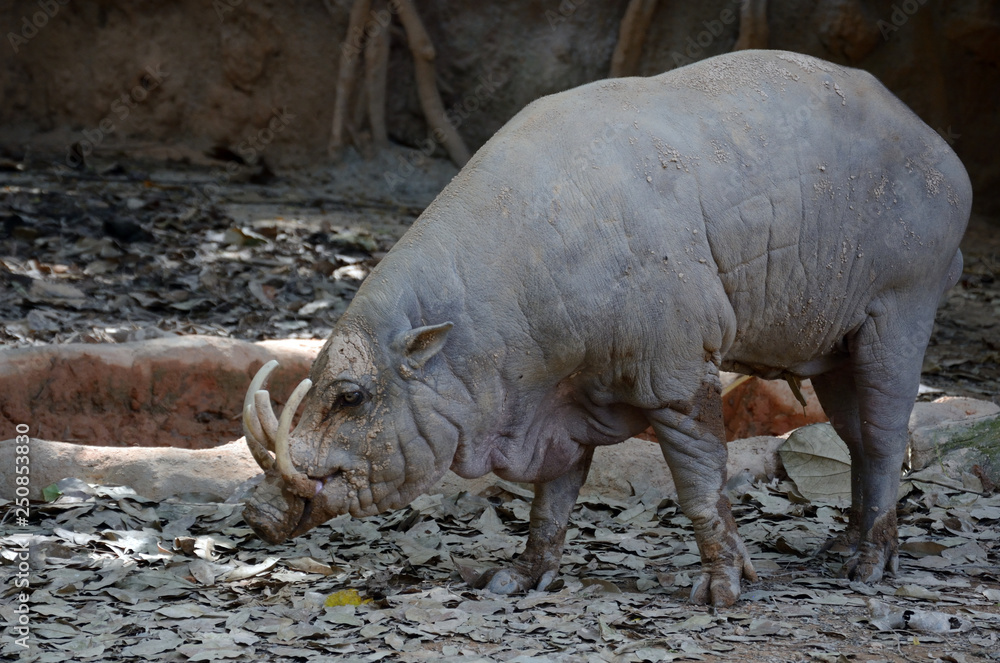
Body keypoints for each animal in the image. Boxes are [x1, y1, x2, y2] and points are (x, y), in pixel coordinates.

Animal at [240, 50, 971, 606]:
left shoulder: (674, 369)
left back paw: (869, 564)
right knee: (853, 435)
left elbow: (701, 484)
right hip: (836, 340)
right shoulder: (557, 398)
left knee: (885, 434)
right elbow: (553, 494)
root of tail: (946, 154)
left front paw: (724, 589)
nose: (256, 512)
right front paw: (515, 578)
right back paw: (840, 547)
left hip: (901, 304)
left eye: (351, 396)